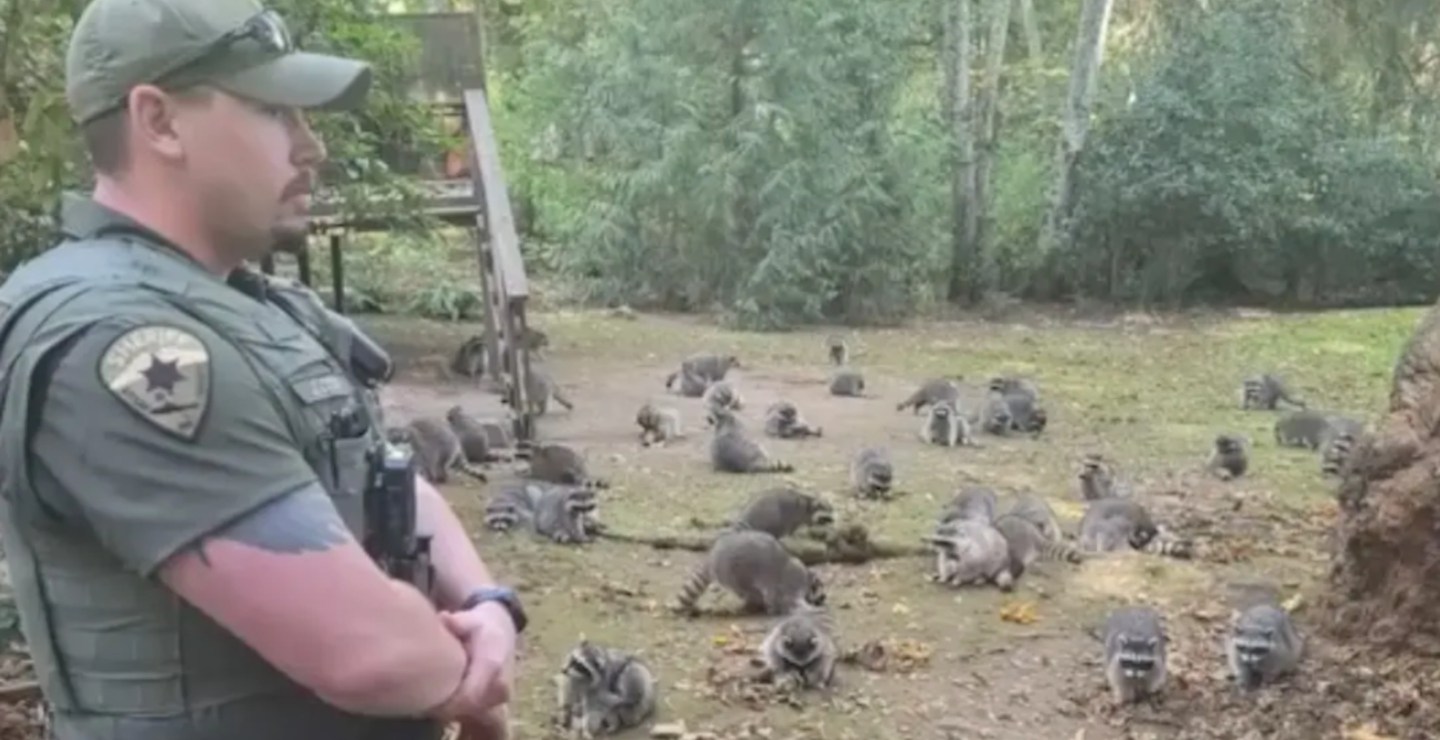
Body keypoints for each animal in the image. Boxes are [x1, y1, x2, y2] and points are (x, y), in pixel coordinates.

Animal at [673, 529, 825, 616]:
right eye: (821, 597)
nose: (821, 602)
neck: (807, 577)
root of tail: (713, 555)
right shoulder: (791, 582)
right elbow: (787, 600)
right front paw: (806, 609)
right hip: (734, 571)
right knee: (747, 588)